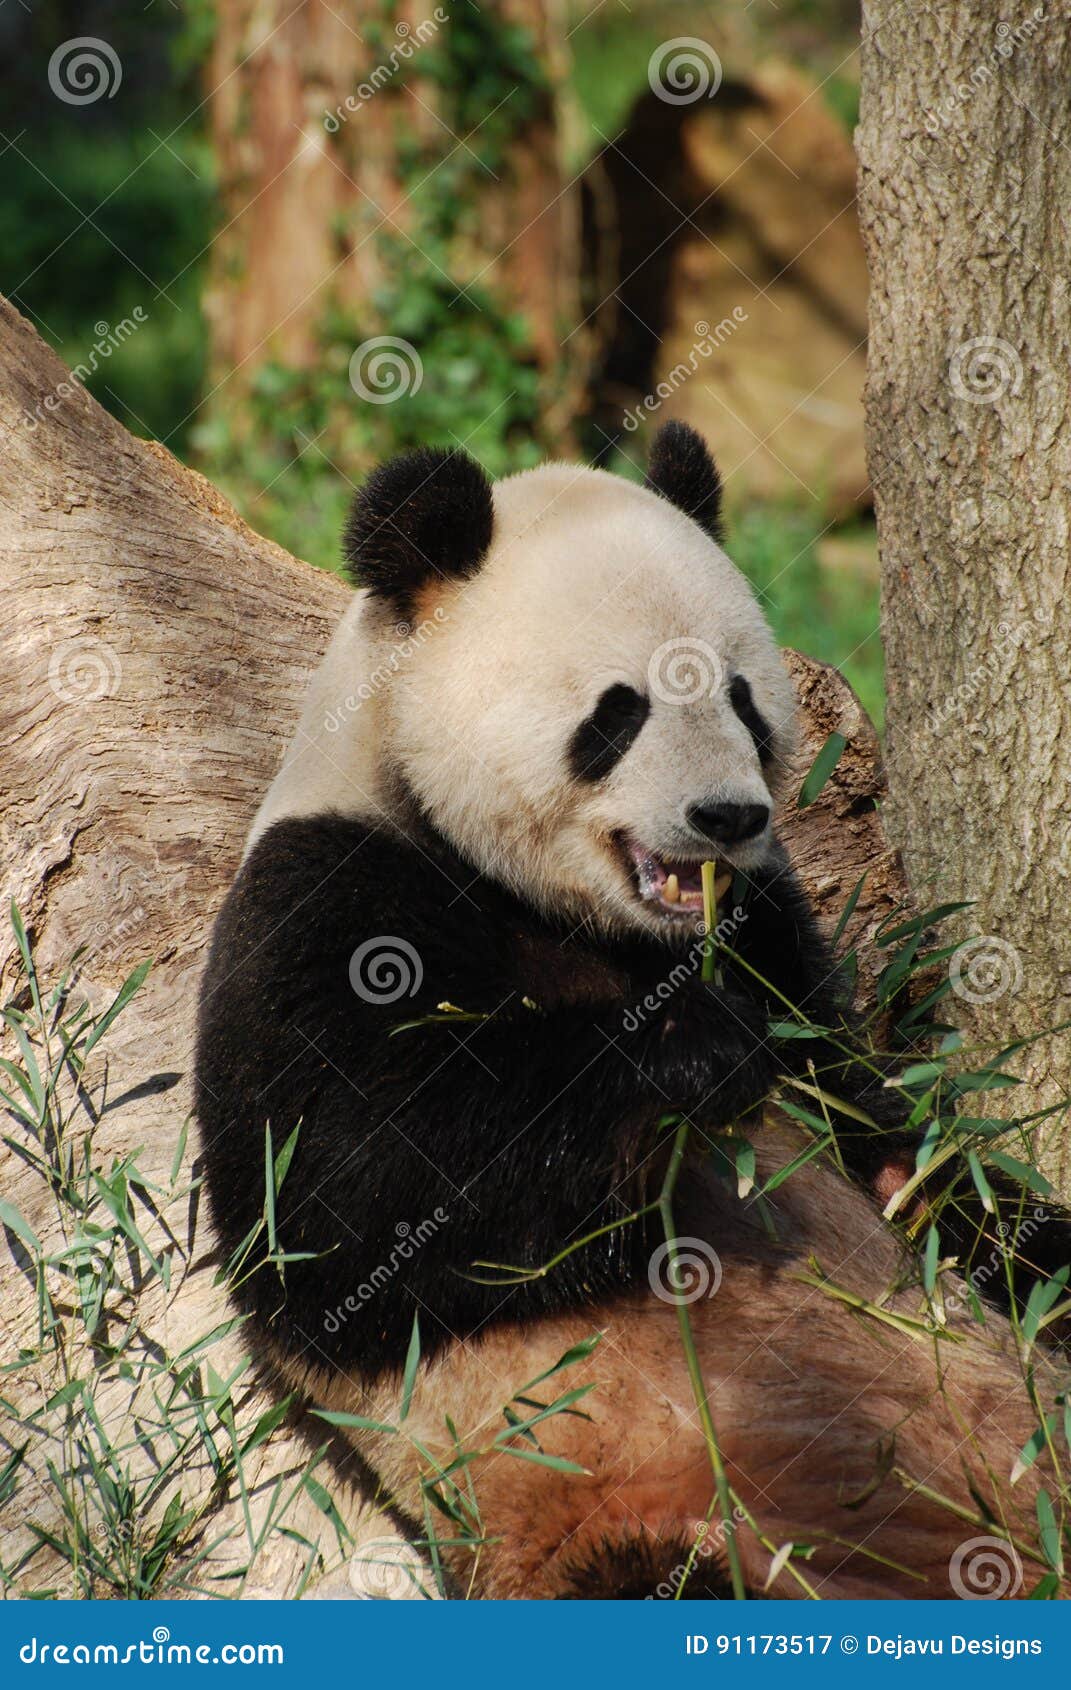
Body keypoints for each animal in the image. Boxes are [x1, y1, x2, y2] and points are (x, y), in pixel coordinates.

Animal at [196, 422, 1066, 1600]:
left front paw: (896, 1165)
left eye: (742, 697)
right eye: (619, 712)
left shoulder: (766, 928)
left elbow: (874, 1115)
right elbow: (333, 1204)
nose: (728, 815)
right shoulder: (322, 897)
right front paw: (697, 1053)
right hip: (633, 1517)